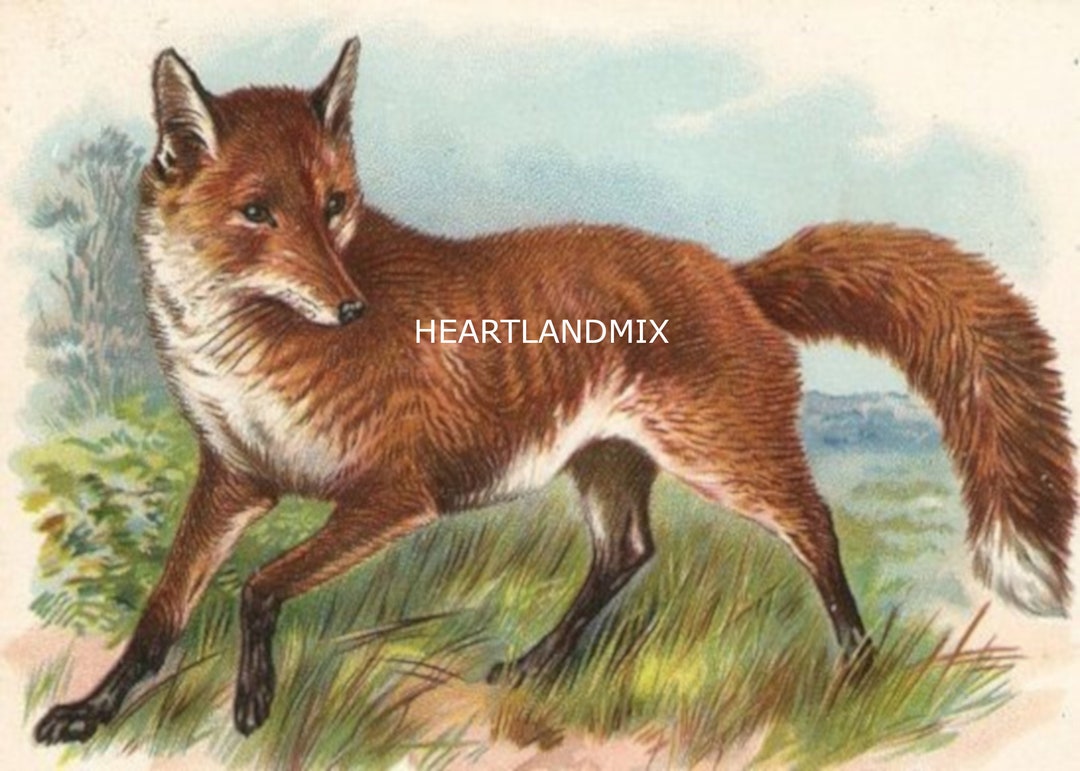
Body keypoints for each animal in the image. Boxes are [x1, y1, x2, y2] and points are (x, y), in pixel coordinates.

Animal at [34, 37, 1076, 744]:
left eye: (334, 206)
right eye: (258, 212)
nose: (349, 305)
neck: (233, 352)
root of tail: (730, 271)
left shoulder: (395, 496)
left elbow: (258, 586)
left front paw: (253, 696)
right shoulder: (236, 478)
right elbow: (161, 616)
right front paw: (91, 712)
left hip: (724, 455)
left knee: (812, 525)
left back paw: (856, 667)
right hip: (608, 465)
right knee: (627, 554)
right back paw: (539, 663)